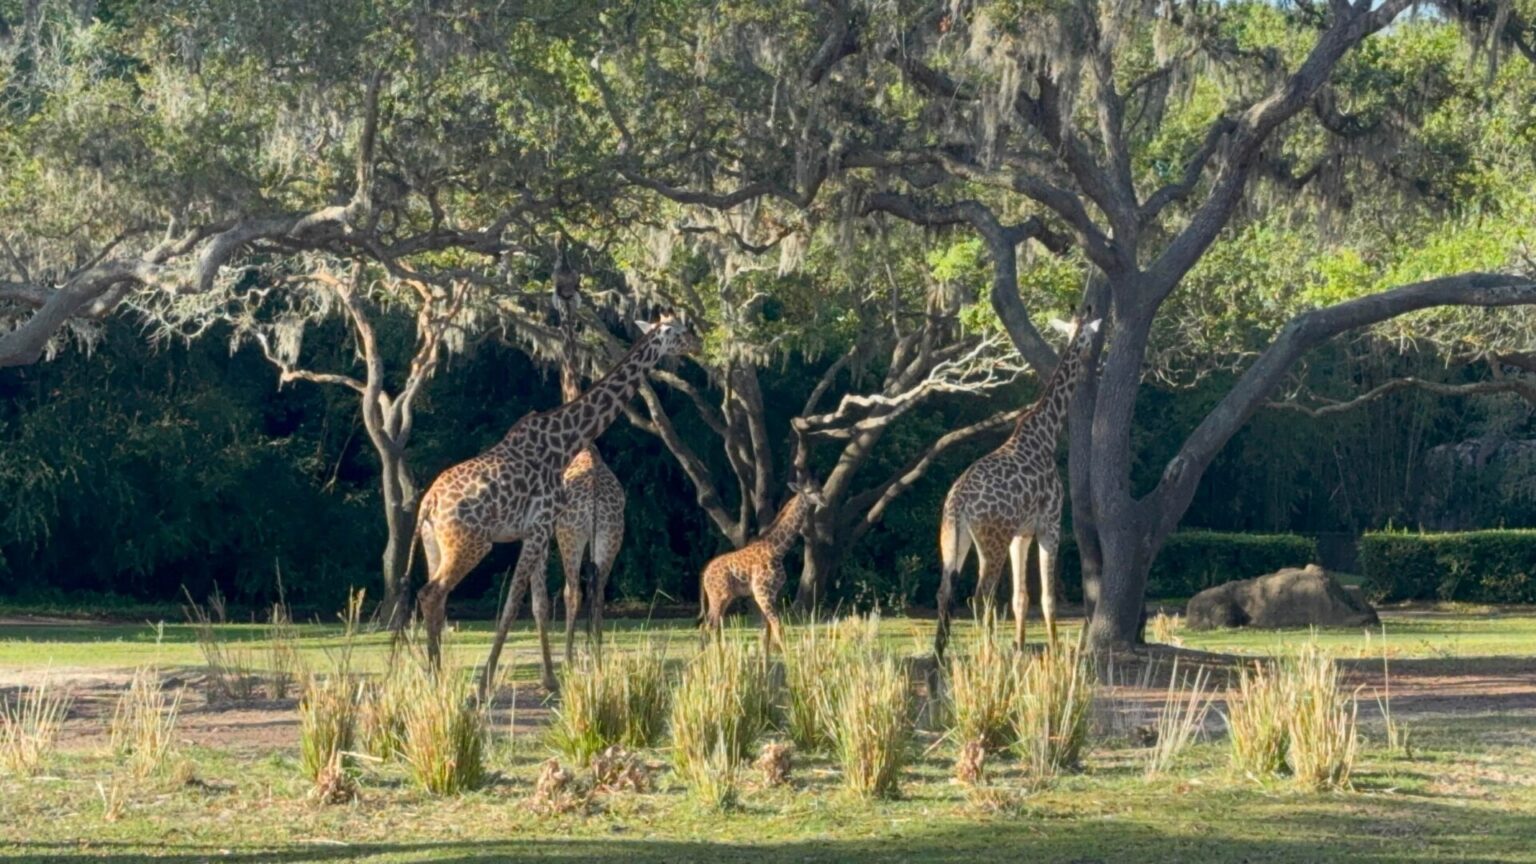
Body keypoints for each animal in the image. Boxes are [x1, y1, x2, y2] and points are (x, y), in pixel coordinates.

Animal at [411, 313, 697, 692]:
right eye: (679, 332)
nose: (697, 344)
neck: (567, 442)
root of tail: (428, 503)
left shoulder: (539, 531)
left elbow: (538, 604)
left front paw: (549, 678)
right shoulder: (541, 526)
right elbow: (514, 603)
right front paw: (487, 680)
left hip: (434, 543)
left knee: (436, 598)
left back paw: (437, 677)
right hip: (474, 544)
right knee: (433, 594)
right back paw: (442, 678)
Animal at [699, 478, 829, 652]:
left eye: (821, 489)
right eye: (809, 492)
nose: (824, 501)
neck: (778, 550)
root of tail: (704, 574)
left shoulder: (771, 593)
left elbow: (766, 631)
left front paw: (766, 655)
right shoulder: (762, 592)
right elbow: (778, 627)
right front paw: (788, 655)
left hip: (725, 597)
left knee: (710, 626)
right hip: (719, 595)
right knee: (709, 626)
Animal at [933, 314, 1102, 658]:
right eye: (1092, 338)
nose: (1100, 363)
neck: (1046, 433)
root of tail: (958, 502)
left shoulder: (1021, 533)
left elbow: (1021, 597)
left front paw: (1020, 648)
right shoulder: (1050, 524)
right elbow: (1048, 598)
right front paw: (1054, 653)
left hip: (955, 538)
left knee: (945, 591)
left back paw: (940, 655)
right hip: (991, 541)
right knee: (980, 596)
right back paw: (986, 654)